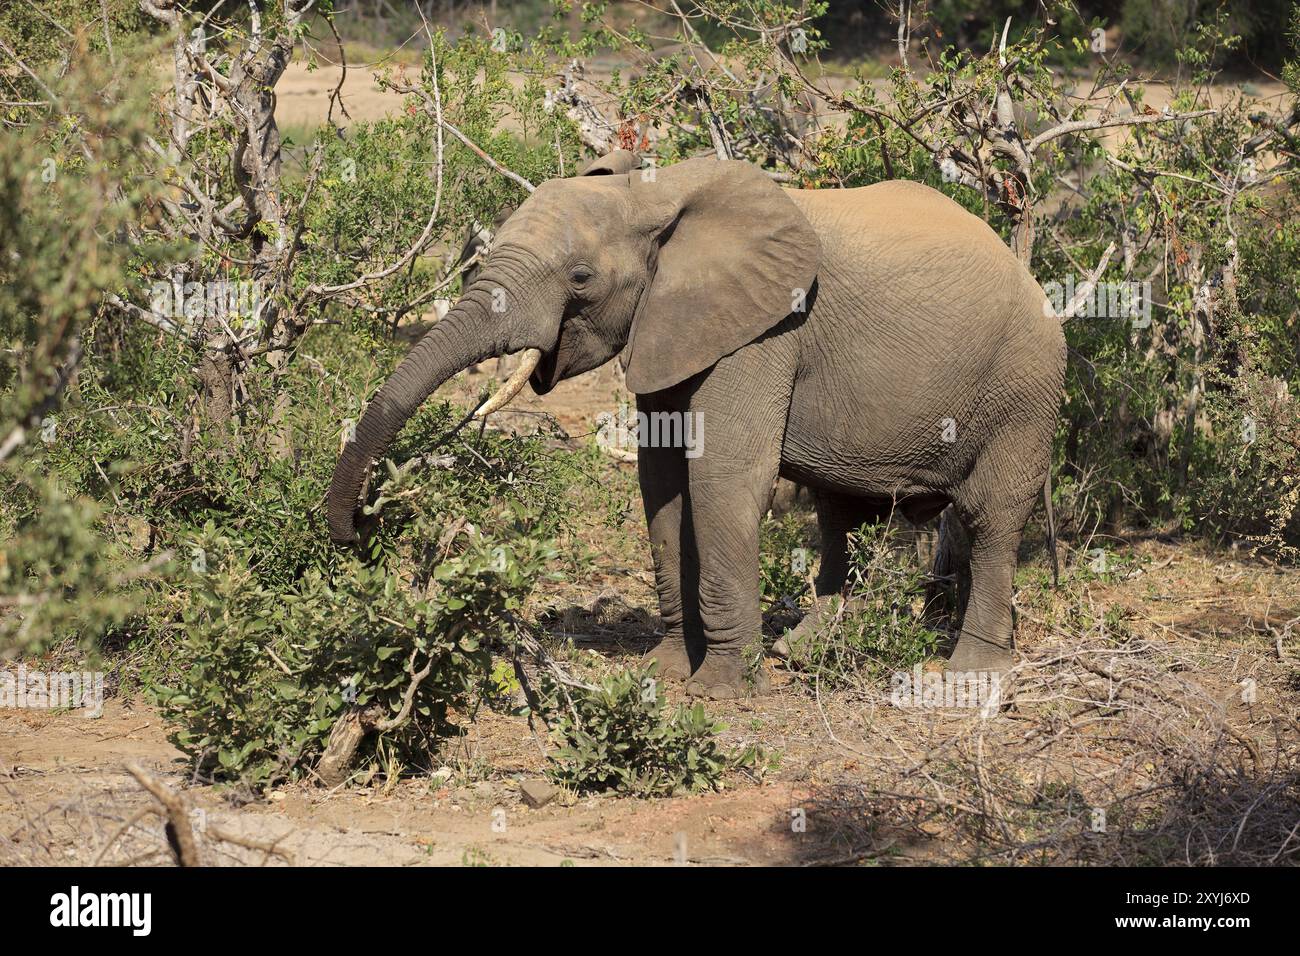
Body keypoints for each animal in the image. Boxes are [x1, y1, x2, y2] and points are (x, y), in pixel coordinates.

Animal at [328, 152, 1066, 699]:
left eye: (580, 277)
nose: (360, 529)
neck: (651, 197)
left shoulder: (766, 328)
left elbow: (723, 478)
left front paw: (720, 691)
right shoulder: (668, 325)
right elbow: (662, 484)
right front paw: (662, 672)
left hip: (1025, 383)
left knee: (989, 516)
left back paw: (971, 674)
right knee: (840, 514)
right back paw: (806, 651)